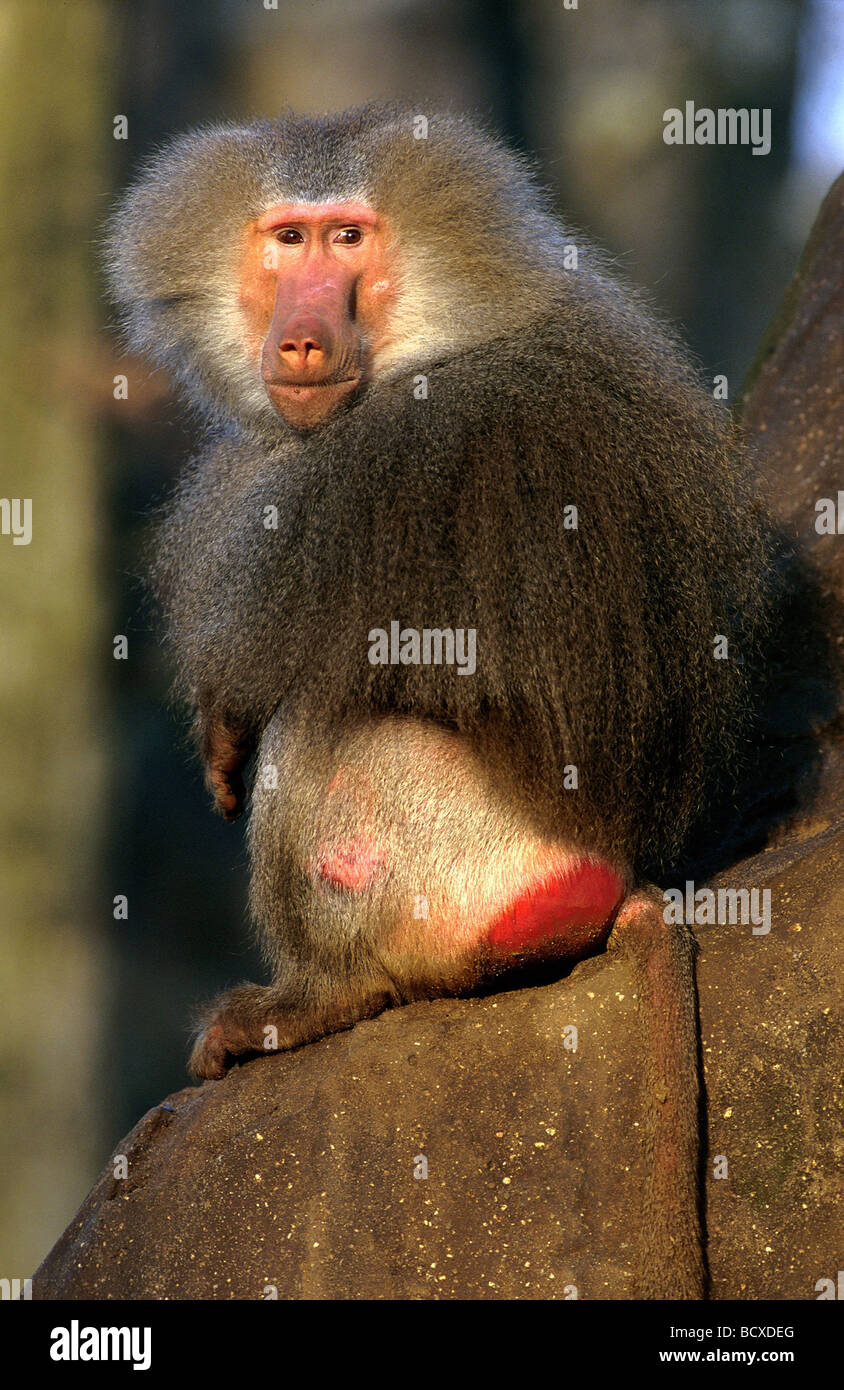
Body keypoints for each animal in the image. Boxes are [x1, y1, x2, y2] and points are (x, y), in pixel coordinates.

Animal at [106, 104, 773, 1299]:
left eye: (348, 240)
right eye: (287, 239)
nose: (303, 341)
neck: (445, 329)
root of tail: (618, 872)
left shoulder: (400, 463)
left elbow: (296, 652)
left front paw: (225, 707)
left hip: (460, 851)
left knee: (327, 725)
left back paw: (309, 1003)